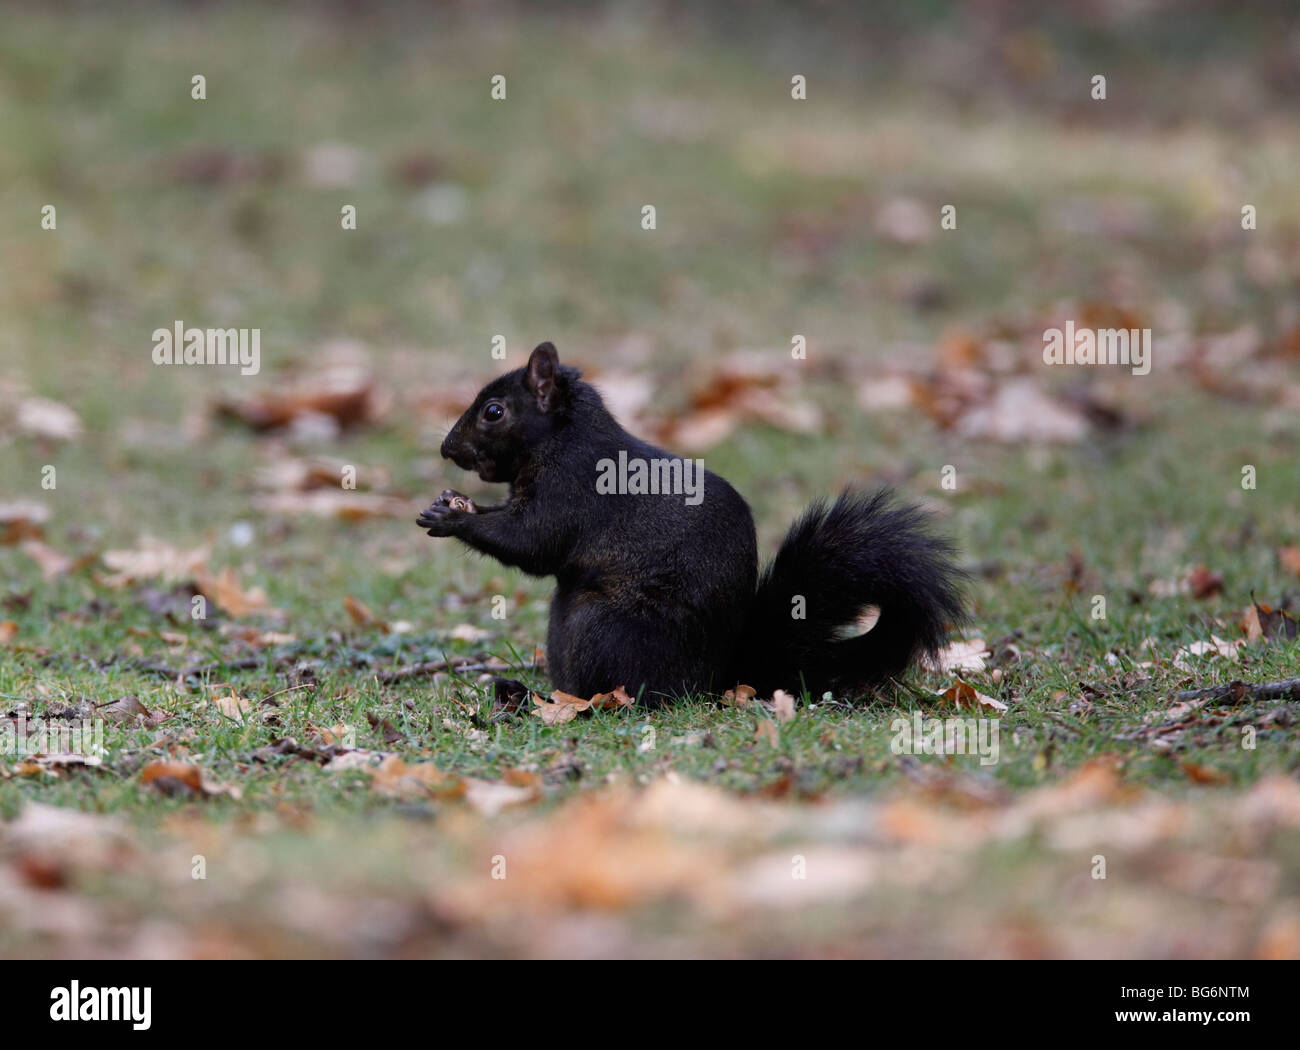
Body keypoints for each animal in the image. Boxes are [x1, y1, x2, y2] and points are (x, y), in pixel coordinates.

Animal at [418, 342, 966, 704]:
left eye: (494, 412)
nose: (446, 448)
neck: (563, 438)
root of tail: (718, 679)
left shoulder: (571, 490)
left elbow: (532, 542)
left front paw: (450, 517)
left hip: (604, 627)